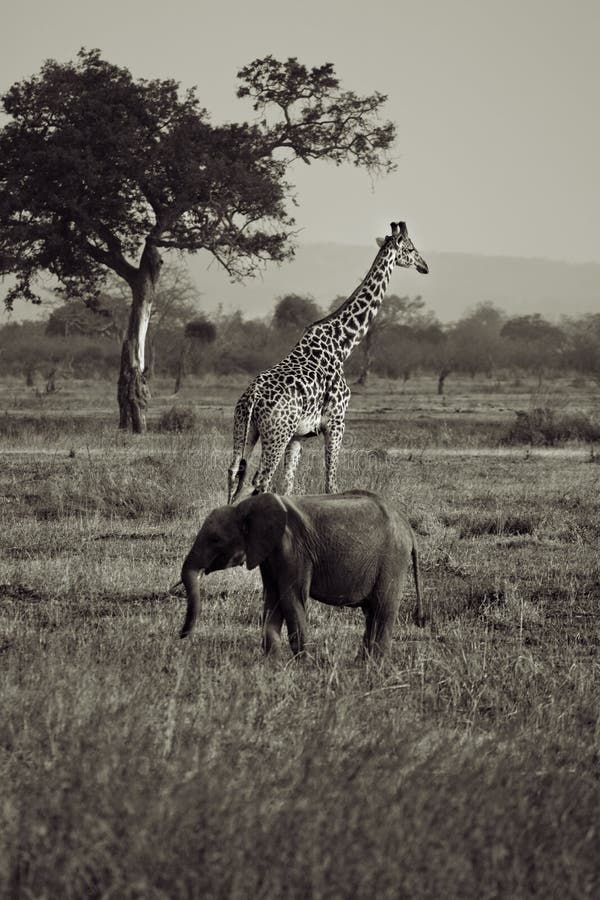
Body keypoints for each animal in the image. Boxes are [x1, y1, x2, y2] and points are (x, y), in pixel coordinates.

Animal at [179, 490, 425, 658]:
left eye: (215, 539)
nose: (181, 638)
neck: (247, 506)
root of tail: (408, 528)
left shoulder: (293, 550)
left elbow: (291, 598)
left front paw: (303, 662)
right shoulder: (268, 553)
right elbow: (273, 598)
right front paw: (272, 662)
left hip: (393, 559)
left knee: (383, 608)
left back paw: (375, 665)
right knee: (371, 612)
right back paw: (361, 663)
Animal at [227, 221, 429, 503]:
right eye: (410, 249)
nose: (425, 266)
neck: (343, 344)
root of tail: (253, 397)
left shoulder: (299, 436)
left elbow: (288, 485)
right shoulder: (336, 422)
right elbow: (330, 485)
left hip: (245, 427)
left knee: (236, 473)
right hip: (277, 433)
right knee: (260, 480)